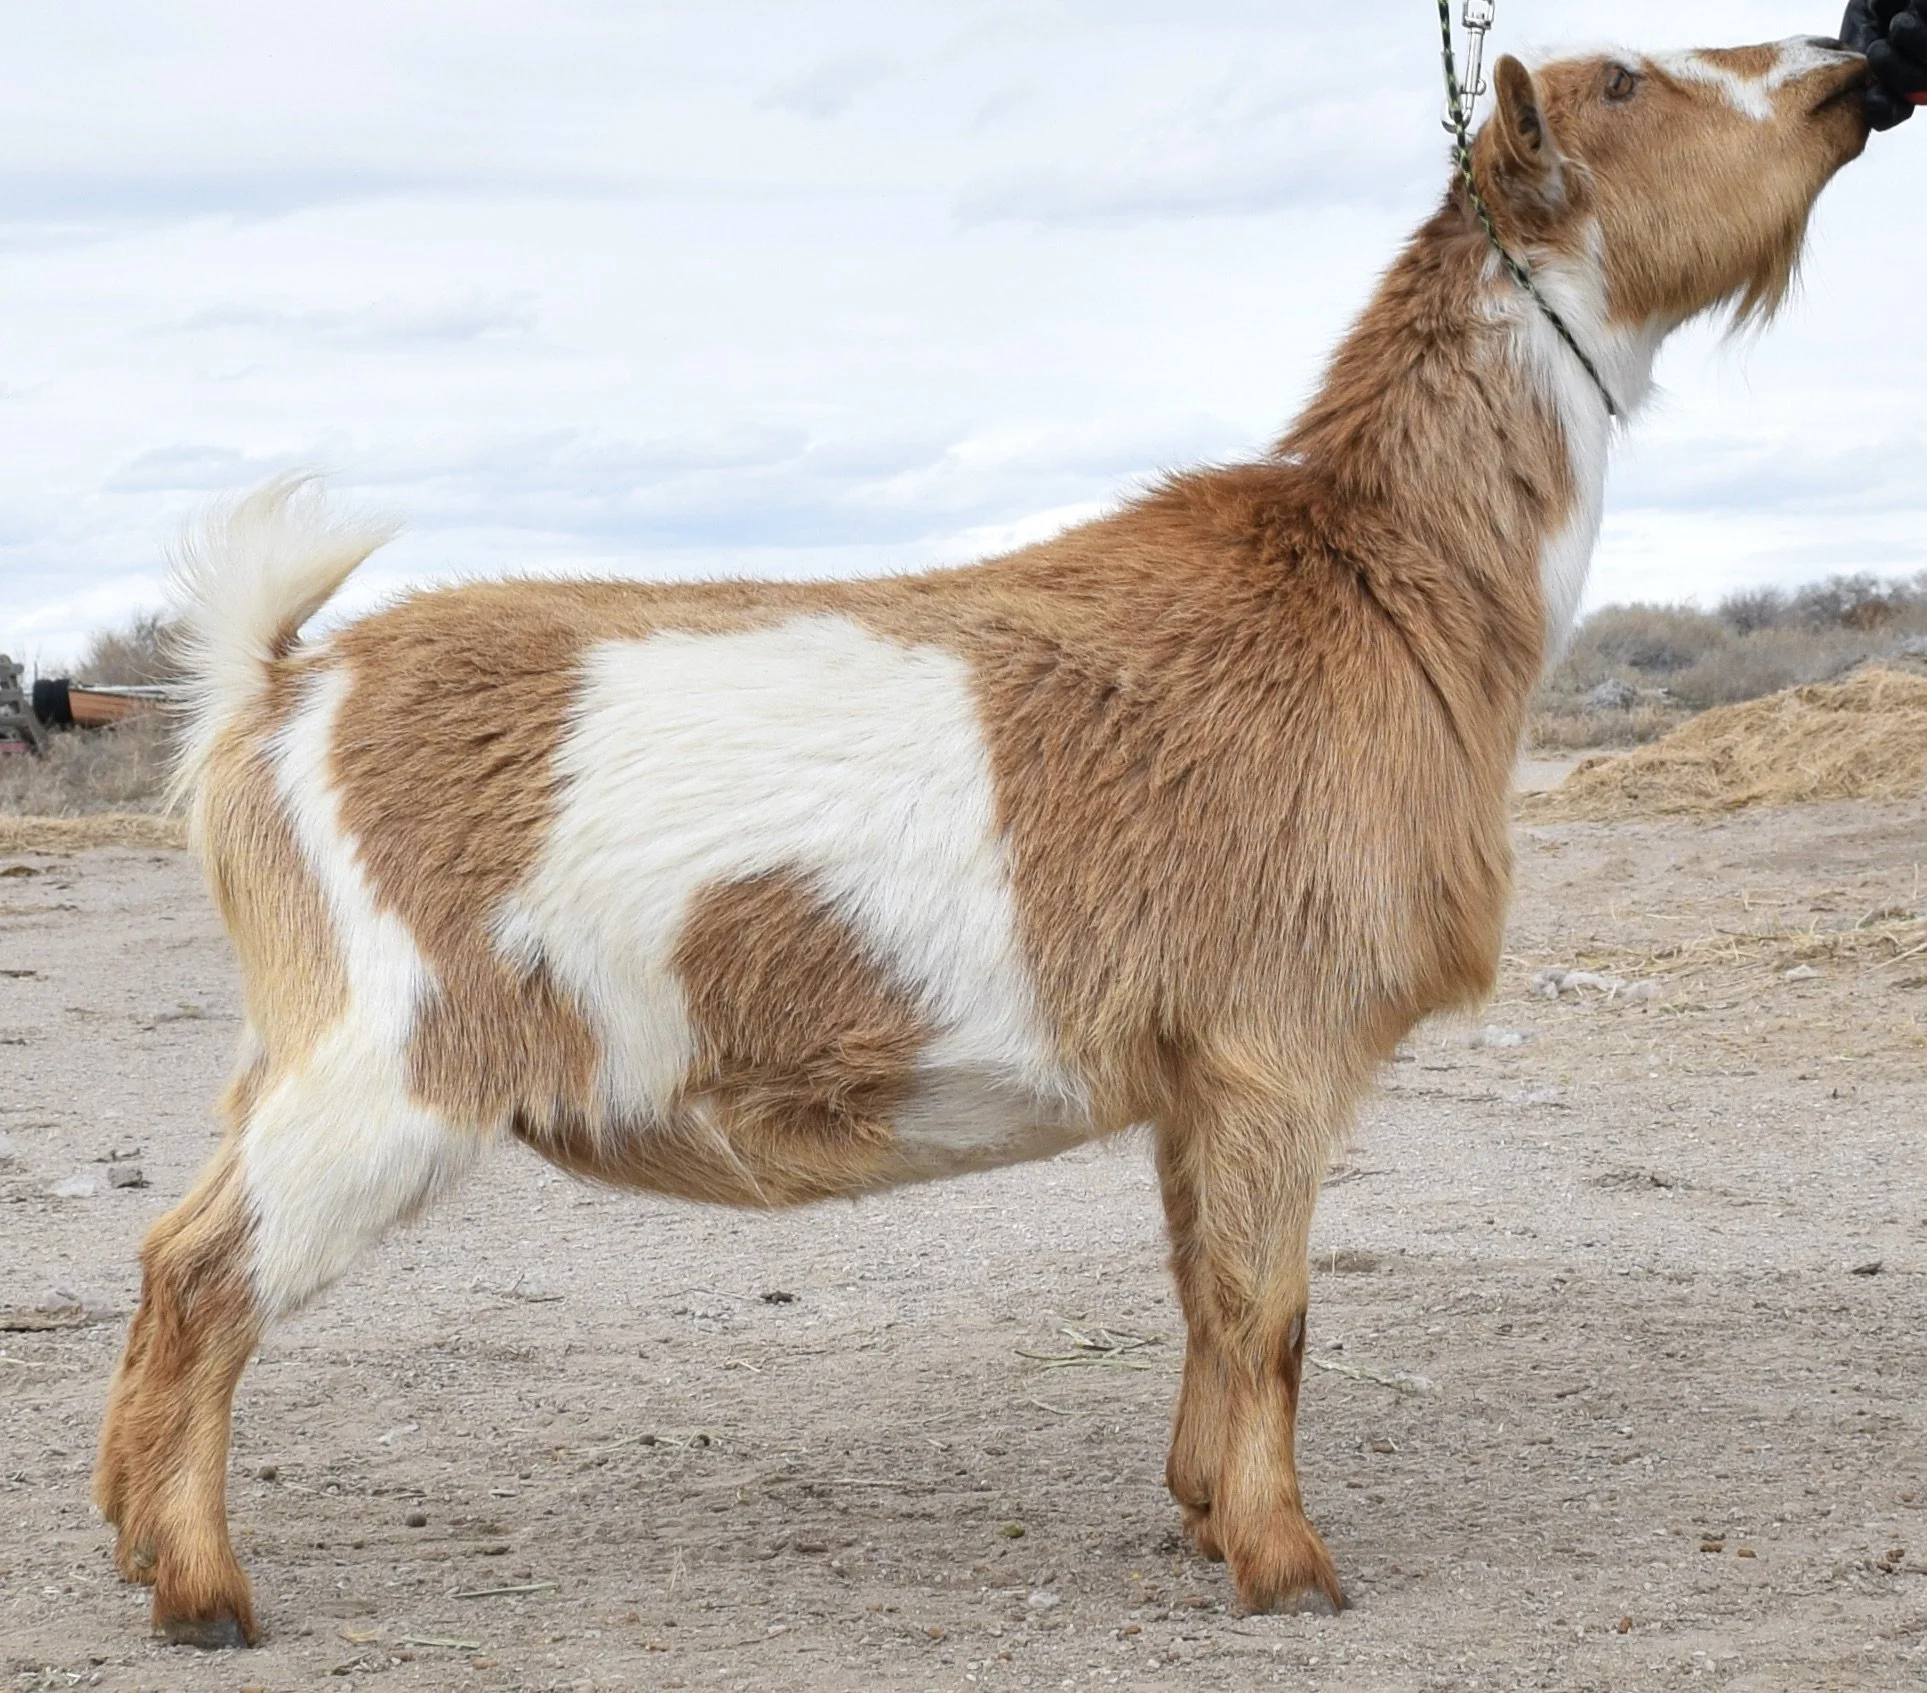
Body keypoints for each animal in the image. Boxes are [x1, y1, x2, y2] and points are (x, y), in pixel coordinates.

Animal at [96, 38, 1874, 1645]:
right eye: (1625, 83)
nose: (1852, 67)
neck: (1376, 575)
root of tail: (277, 690)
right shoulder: (1276, 1043)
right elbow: (1272, 1311)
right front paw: (1287, 1566)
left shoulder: (1194, 1072)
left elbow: (1202, 1293)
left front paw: (1195, 1508)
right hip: (392, 1058)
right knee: (203, 1274)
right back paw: (203, 1595)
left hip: (300, 1043)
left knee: (167, 1243)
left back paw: (125, 1534)